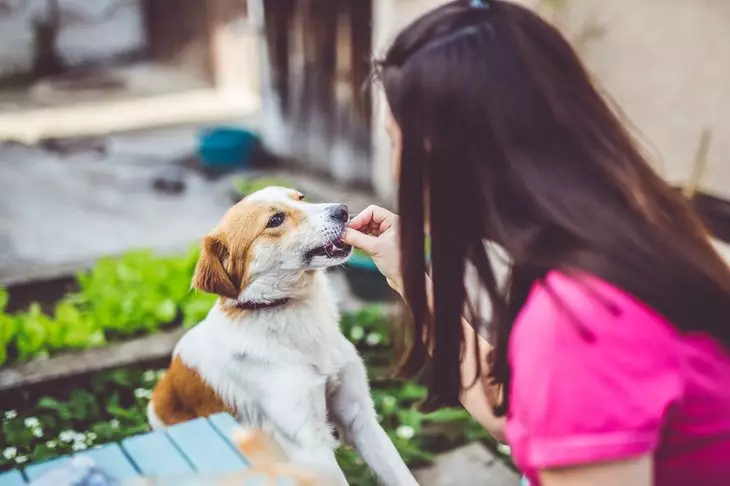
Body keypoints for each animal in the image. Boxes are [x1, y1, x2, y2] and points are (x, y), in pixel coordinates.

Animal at [146, 187, 416, 486]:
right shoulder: (310, 445)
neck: (291, 310)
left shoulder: (359, 416)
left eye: (300, 198)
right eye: (275, 220)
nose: (343, 210)